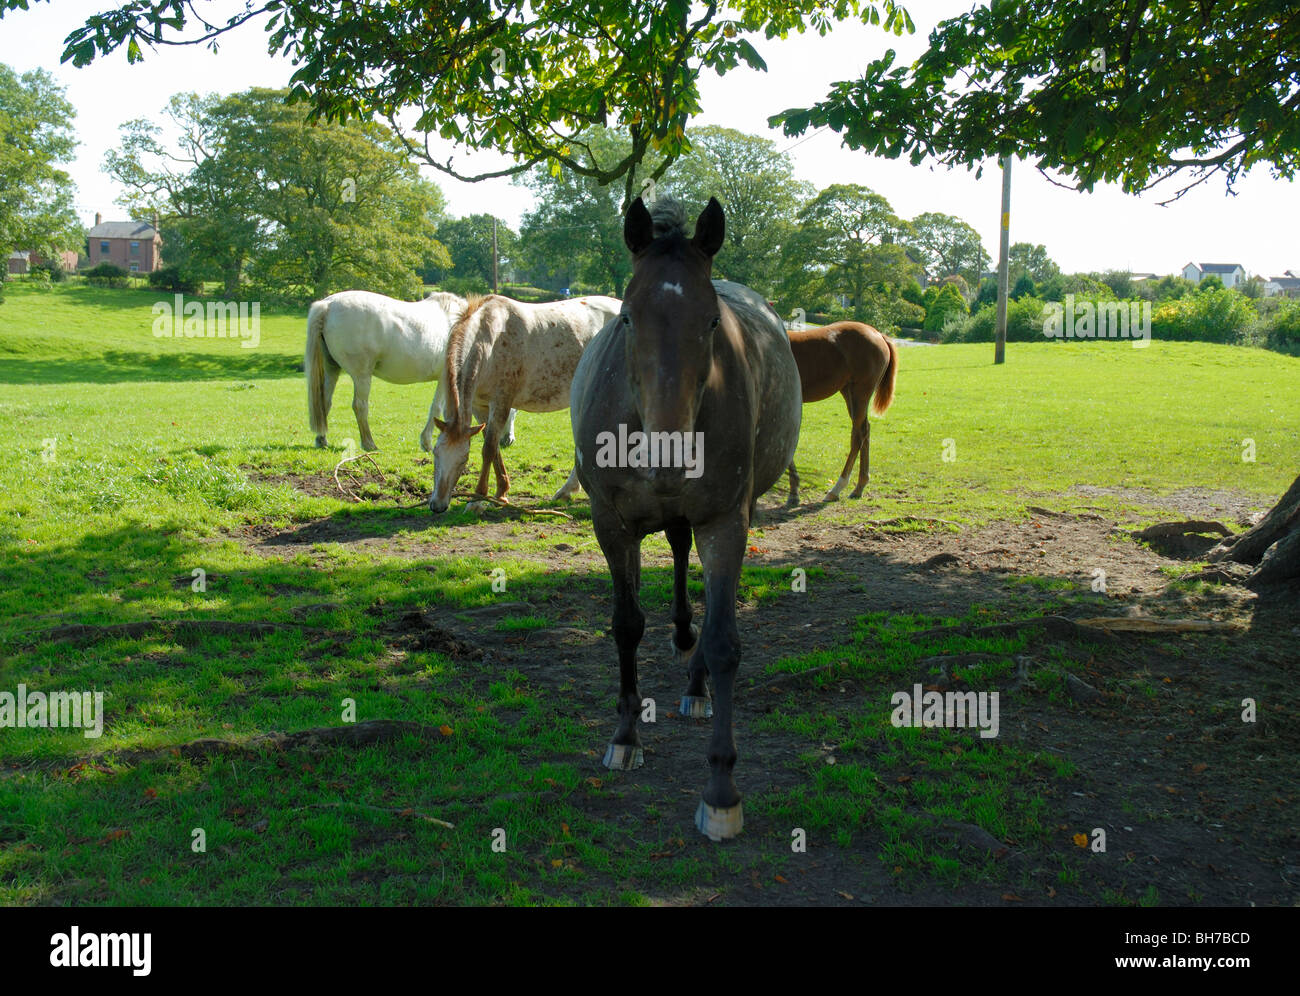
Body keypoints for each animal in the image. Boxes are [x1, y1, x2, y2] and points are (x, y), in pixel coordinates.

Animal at [305, 289, 518, 452]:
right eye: (511, 411)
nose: (508, 441)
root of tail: (327, 305)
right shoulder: (445, 378)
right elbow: (438, 408)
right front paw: (427, 442)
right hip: (361, 375)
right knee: (360, 406)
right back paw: (369, 443)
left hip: (332, 369)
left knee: (324, 402)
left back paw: (322, 440)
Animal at [427, 293, 622, 512]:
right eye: (435, 453)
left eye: (463, 460)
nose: (437, 505)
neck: (489, 342)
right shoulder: (479, 406)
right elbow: (493, 448)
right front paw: (501, 492)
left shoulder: (501, 402)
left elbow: (488, 449)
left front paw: (477, 500)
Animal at [571, 196, 802, 841]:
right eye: (627, 319)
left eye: (711, 322)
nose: (668, 452)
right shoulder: (611, 522)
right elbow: (626, 624)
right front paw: (625, 737)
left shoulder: (725, 521)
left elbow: (724, 643)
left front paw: (721, 792)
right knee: (675, 552)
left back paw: (696, 682)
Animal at [785, 321, 898, 504]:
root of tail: (878, 334)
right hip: (849, 392)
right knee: (865, 430)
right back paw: (859, 487)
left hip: (861, 392)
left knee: (859, 434)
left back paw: (836, 489)